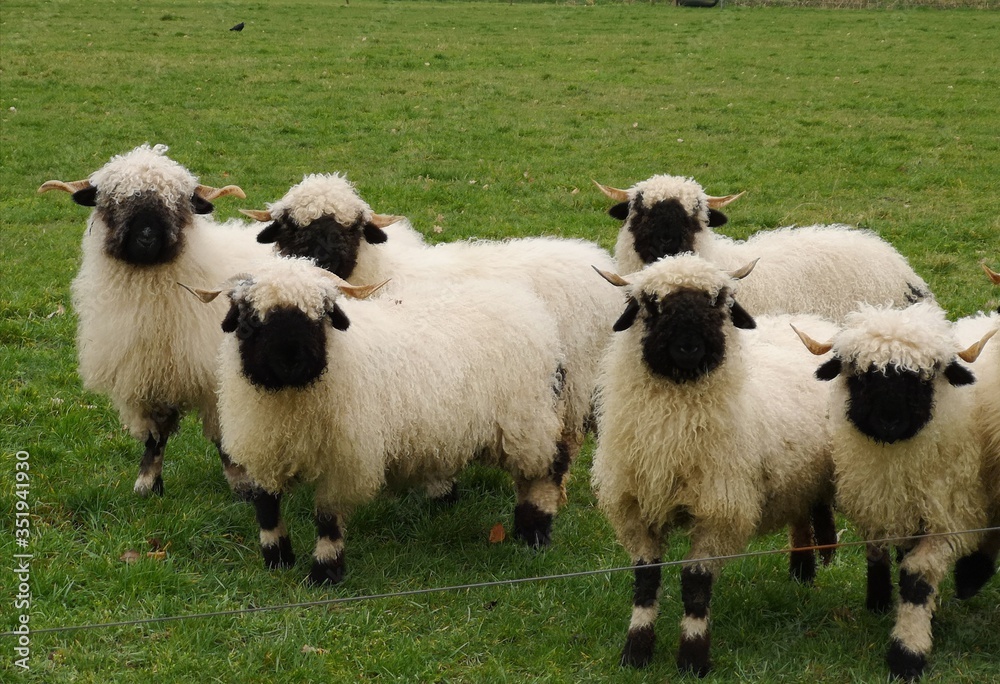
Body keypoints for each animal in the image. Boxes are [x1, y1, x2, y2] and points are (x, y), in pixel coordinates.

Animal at [38, 143, 274, 497]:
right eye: (113, 201)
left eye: (177, 203)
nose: (146, 237)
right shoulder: (147, 375)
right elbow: (155, 435)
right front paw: (148, 483)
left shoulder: (213, 375)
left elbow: (222, 436)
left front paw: (241, 484)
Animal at [187, 257, 573, 585]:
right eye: (251, 319)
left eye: (321, 316)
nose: (291, 361)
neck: (291, 399)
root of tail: (529, 306)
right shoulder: (262, 447)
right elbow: (266, 508)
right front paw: (277, 560)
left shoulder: (343, 461)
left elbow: (327, 518)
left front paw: (325, 573)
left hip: (528, 419)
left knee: (546, 470)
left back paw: (535, 532)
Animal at [240, 173, 624, 480]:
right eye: (292, 227)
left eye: (351, 229)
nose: (322, 261)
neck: (380, 275)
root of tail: (596, 259)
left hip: (574, 381)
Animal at [590, 254, 838, 676]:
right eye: (652, 304)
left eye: (717, 301)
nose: (689, 346)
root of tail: (807, 320)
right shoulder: (636, 507)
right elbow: (645, 580)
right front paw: (635, 651)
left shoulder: (718, 510)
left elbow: (695, 583)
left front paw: (693, 658)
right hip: (798, 474)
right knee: (799, 512)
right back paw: (801, 572)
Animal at [794, 301, 995, 682]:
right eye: (861, 374)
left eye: (924, 377)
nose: (889, 421)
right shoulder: (893, 505)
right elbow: (885, 555)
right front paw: (881, 603)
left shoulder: (948, 516)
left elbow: (917, 577)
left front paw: (907, 653)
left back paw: (971, 577)